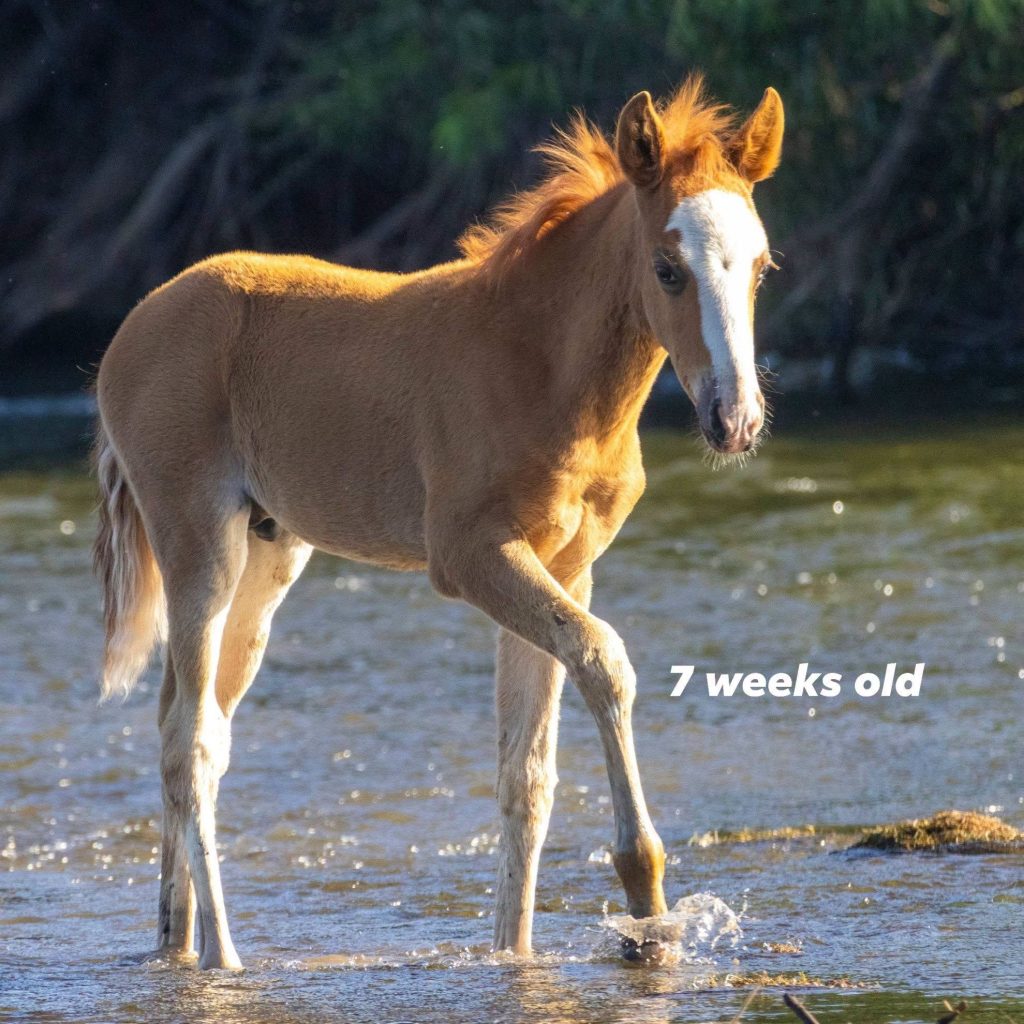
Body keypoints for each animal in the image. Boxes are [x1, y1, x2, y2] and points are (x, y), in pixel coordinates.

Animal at [92, 75, 784, 970]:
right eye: (668, 269)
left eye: (761, 268)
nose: (734, 420)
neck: (540, 369)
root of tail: (124, 337)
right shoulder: (470, 555)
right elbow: (606, 660)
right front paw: (646, 895)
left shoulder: (567, 563)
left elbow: (527, 774)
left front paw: (519, 953)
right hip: (197, 543)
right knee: (191, 743)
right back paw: (222, 955)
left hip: (266, 555)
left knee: (192, 723)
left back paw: (175, 941)